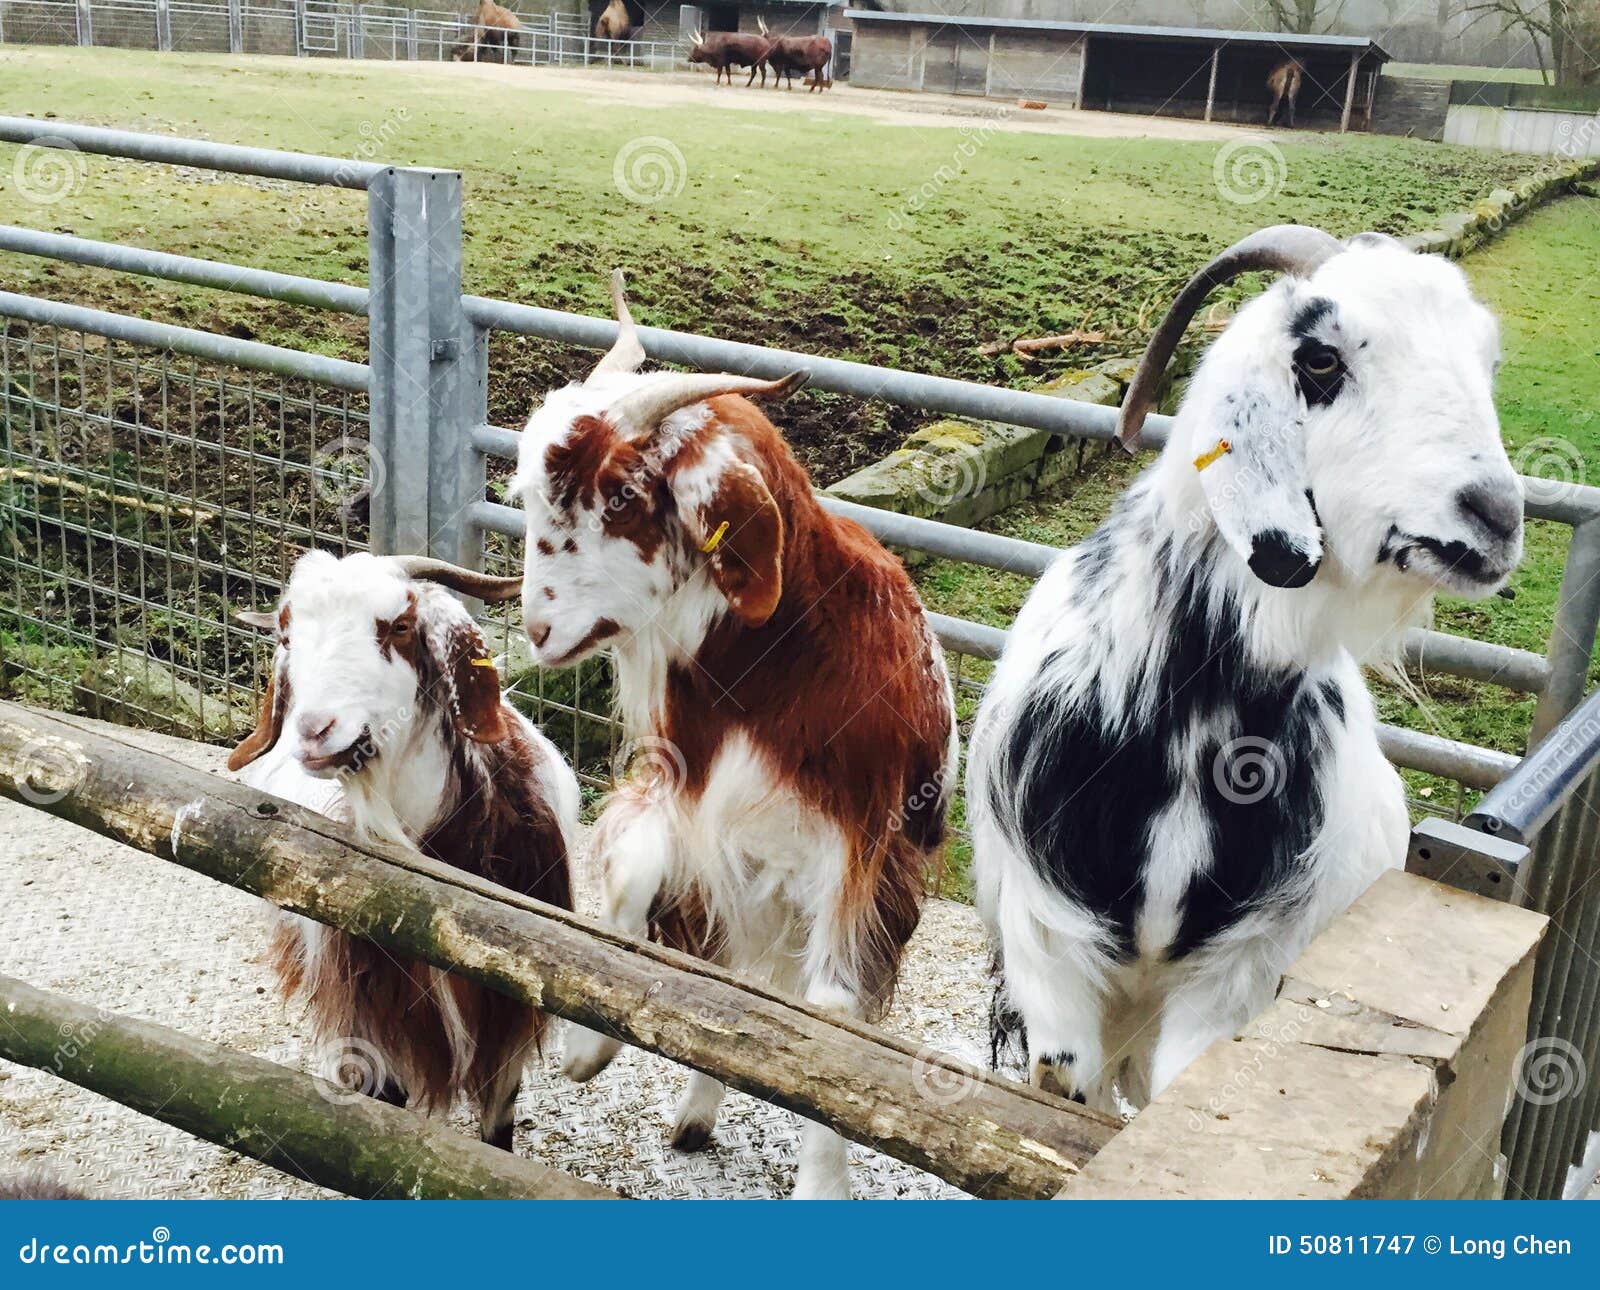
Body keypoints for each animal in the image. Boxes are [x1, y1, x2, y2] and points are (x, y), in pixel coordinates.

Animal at [229, 551, 579, 1149]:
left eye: (398, 627)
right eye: (287, 634)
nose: (315, 731)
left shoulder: (507, 1015)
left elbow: (499, 1124)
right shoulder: (372, 1011)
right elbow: (382, 1105)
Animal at [481, 271, 957, 1197]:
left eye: (621, 495)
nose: (540, 629)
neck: (779, 674)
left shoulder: (864, 857)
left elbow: (831, 1014)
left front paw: (823, 1185)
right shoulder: (681, 799)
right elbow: (643, 894)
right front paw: (589, 1051)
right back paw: (696, 1116)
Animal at [966, 225, 1523, 1114]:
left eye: (1486, 358)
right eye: (1321, 358)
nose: (1496, 518)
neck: (1196, 715)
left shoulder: (1238, 981)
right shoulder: (1046, 951)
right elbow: (1060, 1083)